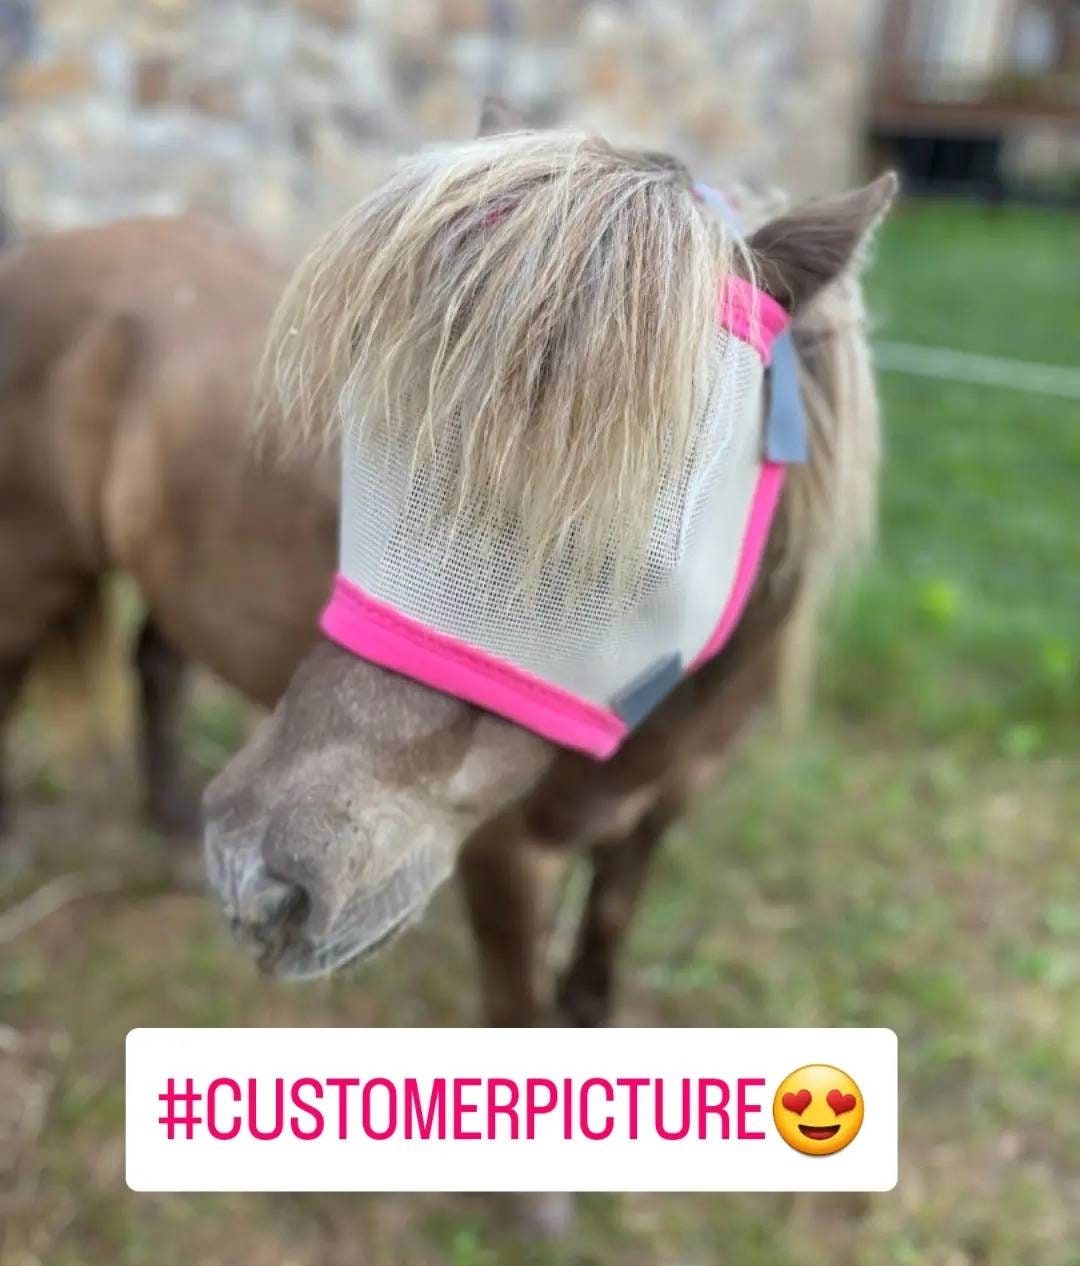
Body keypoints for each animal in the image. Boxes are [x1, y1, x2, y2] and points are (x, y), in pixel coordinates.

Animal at [201, 118, 895, 1035]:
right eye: (364, 459)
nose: (256, 877)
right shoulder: (504, 861)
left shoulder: (664, 807)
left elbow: (614, 913)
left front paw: (592, 1001)